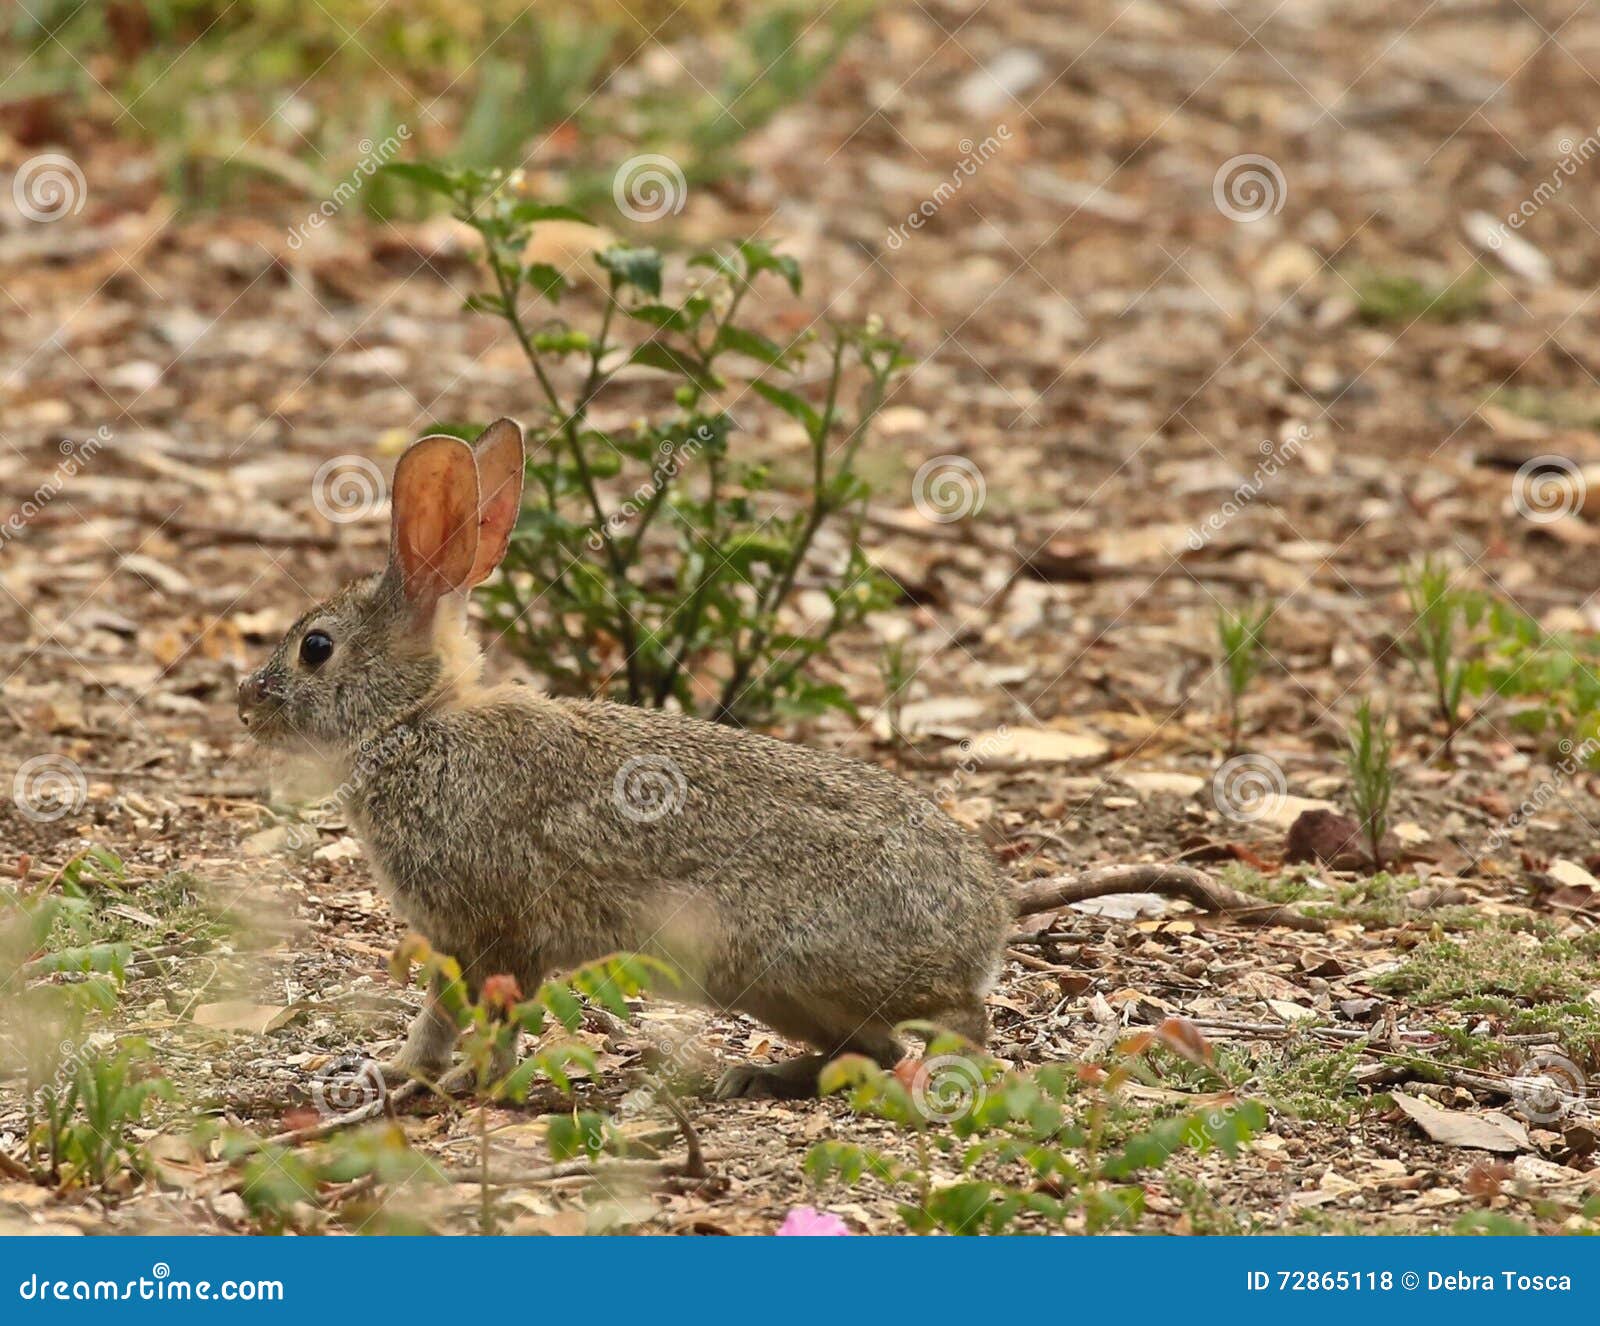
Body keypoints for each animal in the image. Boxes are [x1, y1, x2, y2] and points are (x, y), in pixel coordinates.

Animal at [237, 419, 1011, 1098]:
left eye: (315, 648)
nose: (247, 703)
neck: (412, 722)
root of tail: (988, 927)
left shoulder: (497, 930)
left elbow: (485, 1015)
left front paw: (463, 1082)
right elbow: (442, 1018)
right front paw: (405, 1073)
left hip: (814, 961)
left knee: (956, 1021)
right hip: (779, 991)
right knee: (873, 1048)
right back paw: (761, 1077)